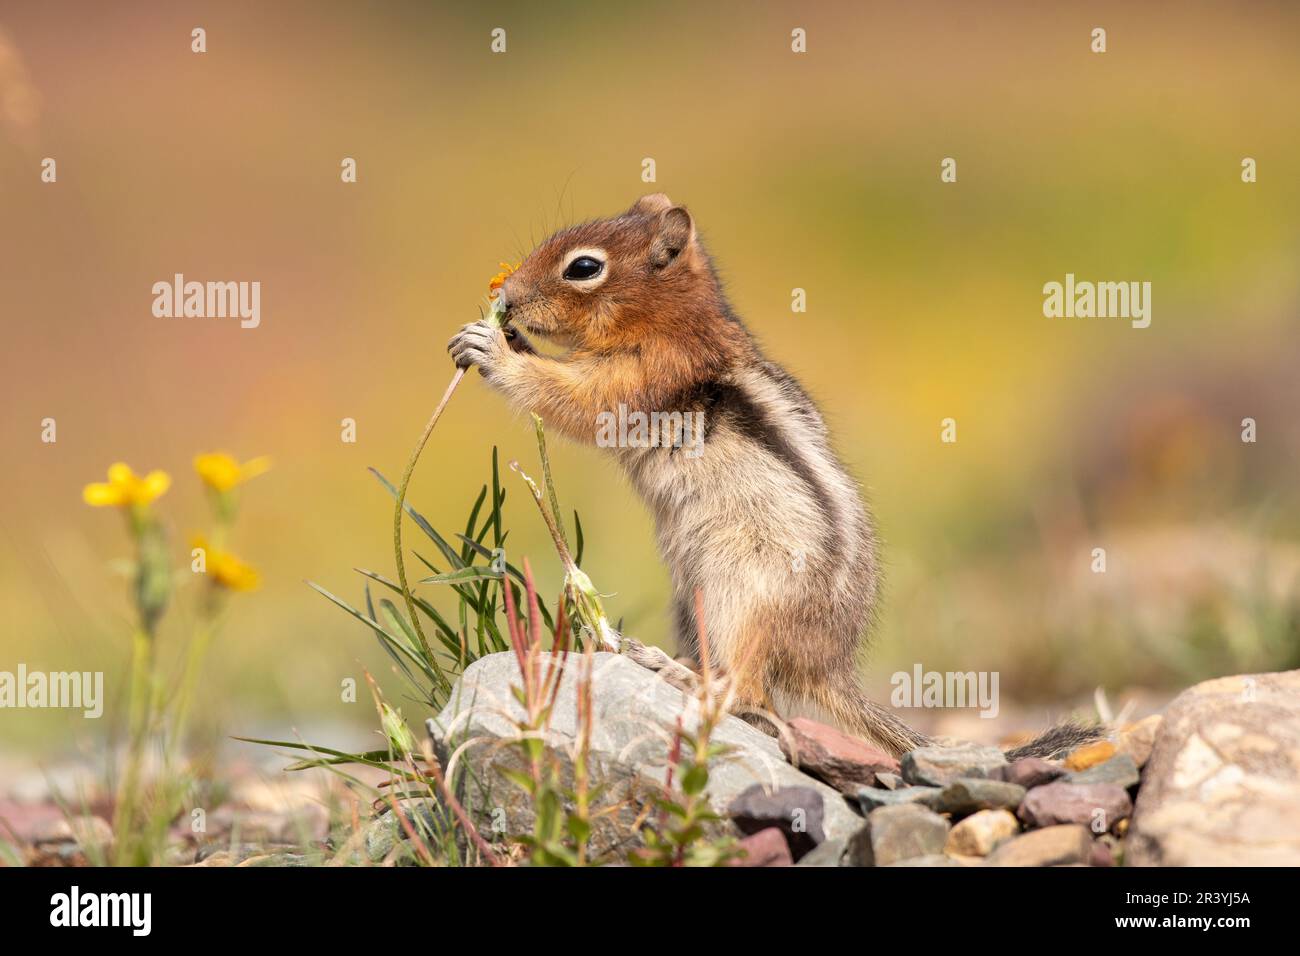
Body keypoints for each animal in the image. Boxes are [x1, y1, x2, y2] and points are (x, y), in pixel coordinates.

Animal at [449, 193, 1101, 760]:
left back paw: (672, 672)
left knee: (749, 693)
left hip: (740, 598)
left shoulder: (638, 379)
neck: (670, 320)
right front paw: (498, 331)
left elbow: (568, 398)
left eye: (583, 267)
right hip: (694, 601)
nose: (508, 295)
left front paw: (494, 347)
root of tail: (825, 667)